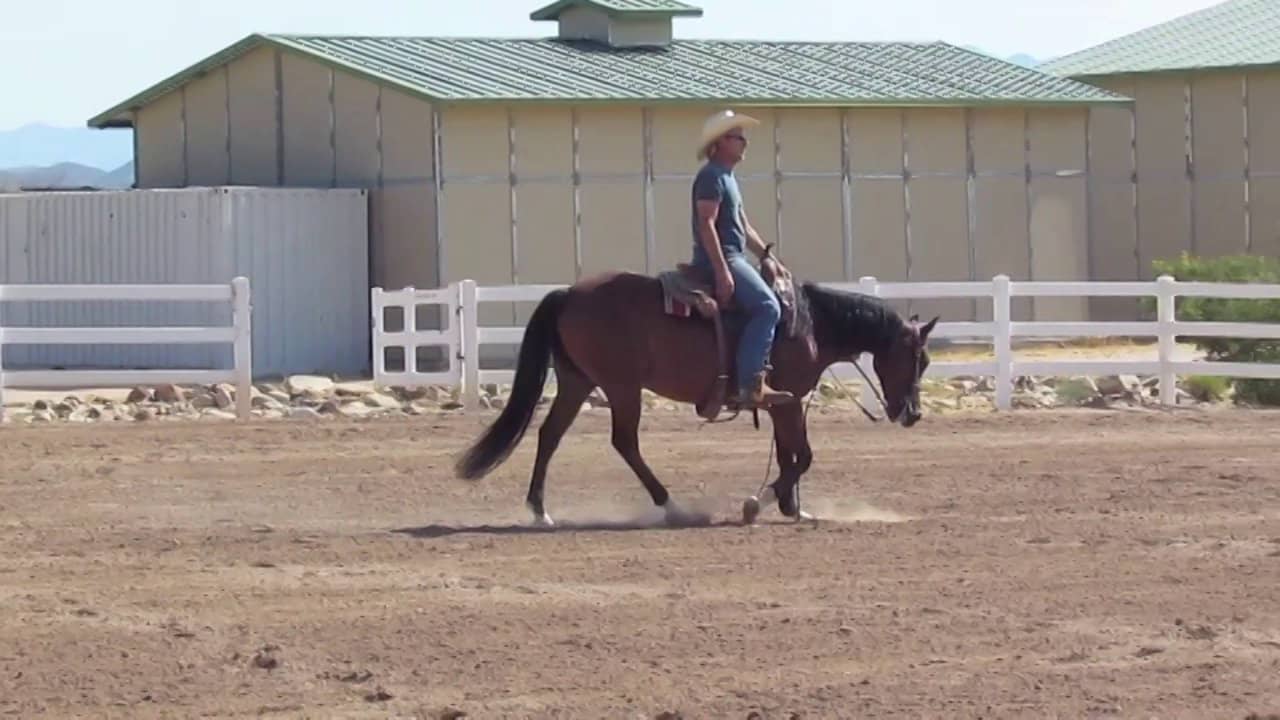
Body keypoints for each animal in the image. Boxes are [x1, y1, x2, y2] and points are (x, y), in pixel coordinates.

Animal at [452, 259, 938, 527]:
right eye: (919, 359)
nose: (912, 413)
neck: (810, 323)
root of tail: (569, 293)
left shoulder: (783, 403)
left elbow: (789, 456)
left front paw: (793, 509)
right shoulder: (789, 401)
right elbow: (801, 457)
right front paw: (758, 504)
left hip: (578, 381)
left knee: (549, 436)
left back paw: (540, 511)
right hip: (621, 386)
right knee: (624, 442)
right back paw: (673, 507)